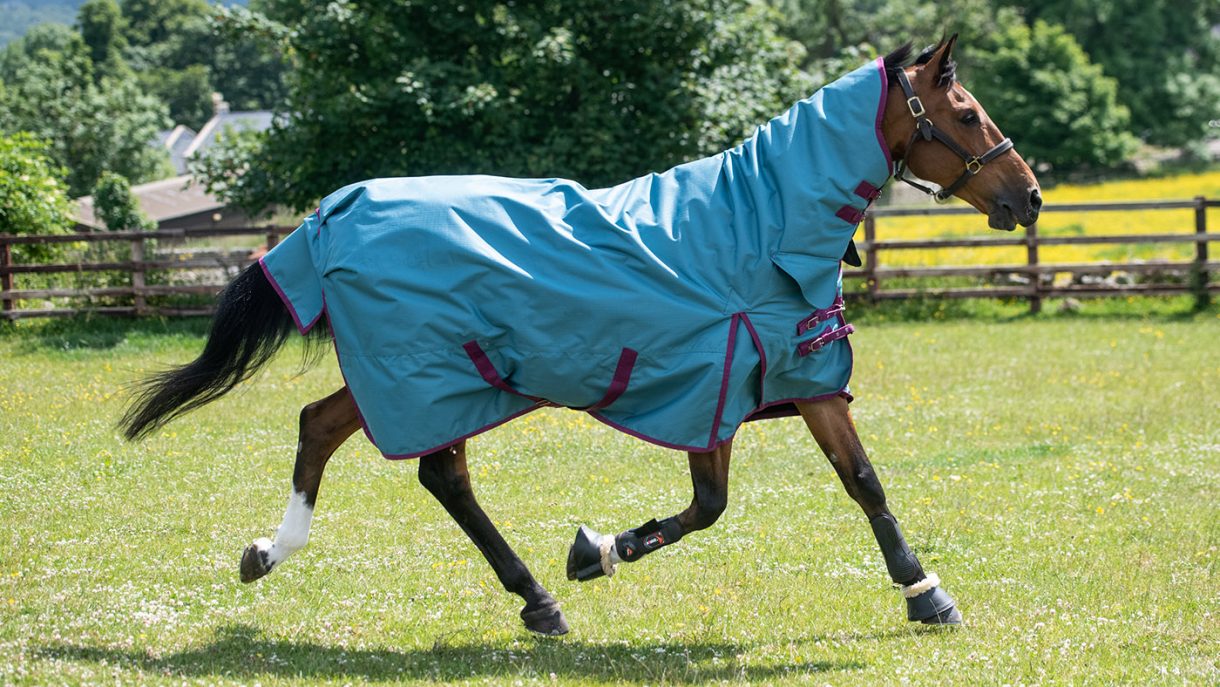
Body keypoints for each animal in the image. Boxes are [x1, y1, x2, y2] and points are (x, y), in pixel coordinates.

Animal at [120, 35, 1041, 636]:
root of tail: (334, 212)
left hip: (441, 380)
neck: (757, 224)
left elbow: (718, 504)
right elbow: (862, 484)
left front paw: (598, 549)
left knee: (363, 442)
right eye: (964, 110)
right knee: (400, 457)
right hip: (433, 377)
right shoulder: (771, 379)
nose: (1029, 196)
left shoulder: (739, 386)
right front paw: (926, 592)